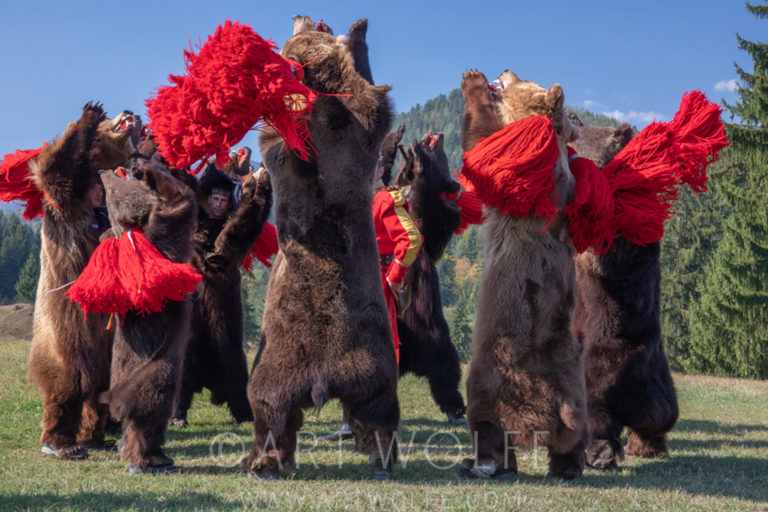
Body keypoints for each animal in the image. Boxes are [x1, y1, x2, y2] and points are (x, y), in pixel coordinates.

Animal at [28, 103, 139, 459]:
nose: (129, 111)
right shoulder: (67, 205)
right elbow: (56, 172)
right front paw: (89, 114)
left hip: (108, 339)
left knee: (100, 385)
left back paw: (94, 436)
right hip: (68, 325)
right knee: (68, 380)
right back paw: (63, 444)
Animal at [98, 160, 198, 473]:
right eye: (112, 190)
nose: (103, 171)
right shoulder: (159, 240)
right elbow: (178, 207)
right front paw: (149, 170)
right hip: (155, 370)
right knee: (151, 409)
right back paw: (150, 457)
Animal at [242, 19, 400, 480]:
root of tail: (324, 373)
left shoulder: (342, 128)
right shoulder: (357, 131)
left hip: (274, 365)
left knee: (270, 410)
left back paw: (262, 460)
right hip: (376, 368)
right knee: (379, 413)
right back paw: (382, 458)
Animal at [459, 70, 587, 479]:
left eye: (525, 79)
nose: (504, 70)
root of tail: (549, 410)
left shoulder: (524, 177)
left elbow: (484, 147)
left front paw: (474, 85)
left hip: (494, 372)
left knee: (488, 425)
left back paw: (480, 463)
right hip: (571, 378)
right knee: (575, 433)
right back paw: (569, 465)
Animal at [569, 123, 679, 469]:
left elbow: (609, 250)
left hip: (609, 361)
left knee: (600, 408)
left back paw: (600, 451)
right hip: (660, 378)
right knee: (662, 415)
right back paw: (646, 444)